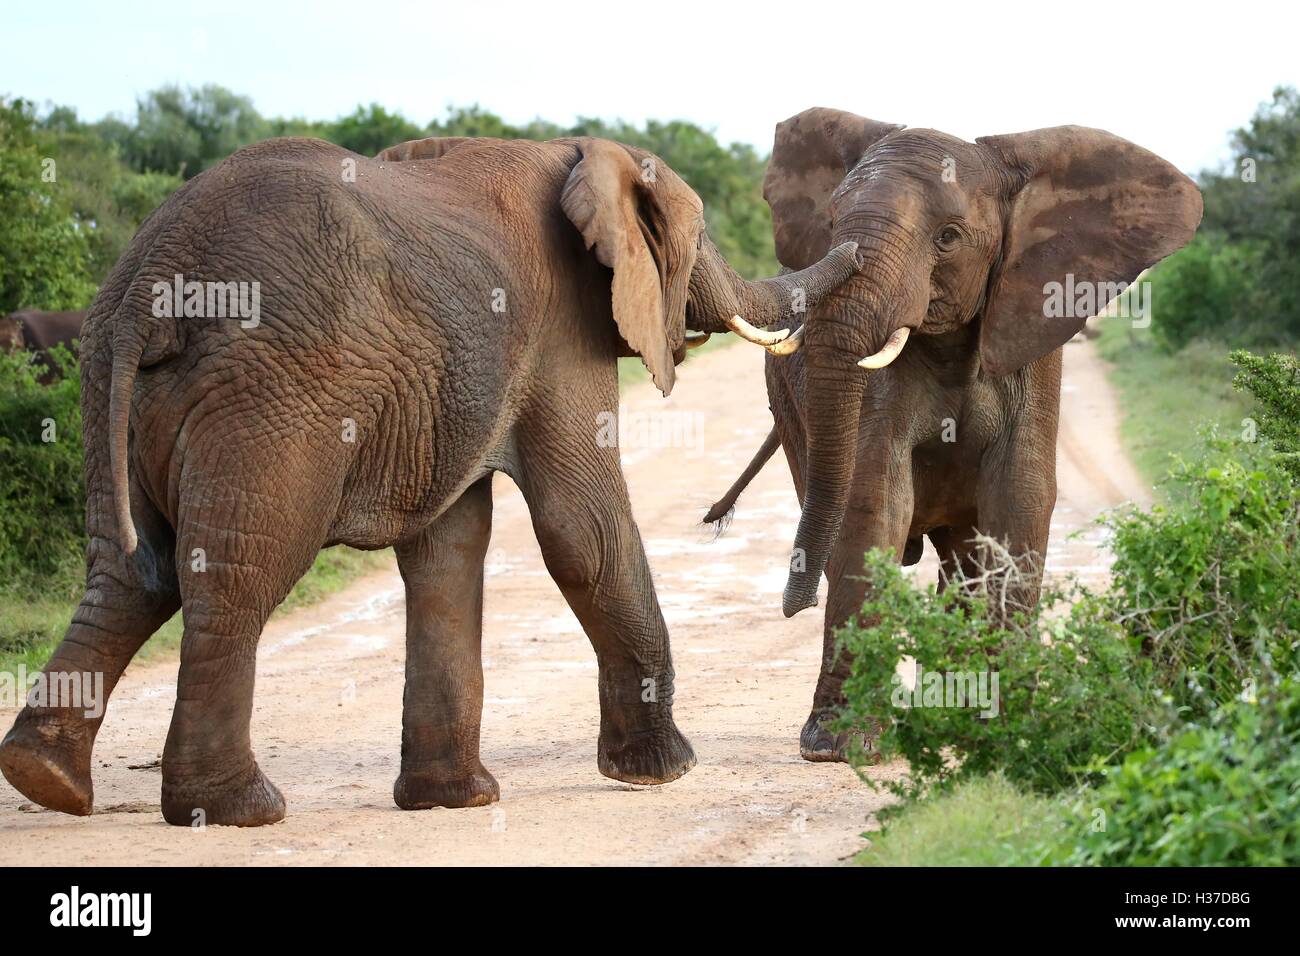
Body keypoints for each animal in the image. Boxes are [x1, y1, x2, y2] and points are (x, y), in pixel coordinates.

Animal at [0, 132, 860, 826]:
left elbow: (448, 551)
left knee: (130, 572)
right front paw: (664, 772)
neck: (579, 150)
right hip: (271, 398)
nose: (852, 248)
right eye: (701, 236)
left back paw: (45, 780)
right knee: (235, 576)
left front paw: (455, 801)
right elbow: (580, 527)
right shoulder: (561, 328)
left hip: (110, 382)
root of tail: (154, 276)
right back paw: (239, 810)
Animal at [706, 108, 1202, 761]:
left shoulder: (1030, 333)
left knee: (963, 559)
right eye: (832, 223)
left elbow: (1019, 495)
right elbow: (874, 499)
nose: (795, 604)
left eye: (948, 238)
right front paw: (837, 747)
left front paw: (1009, 732)